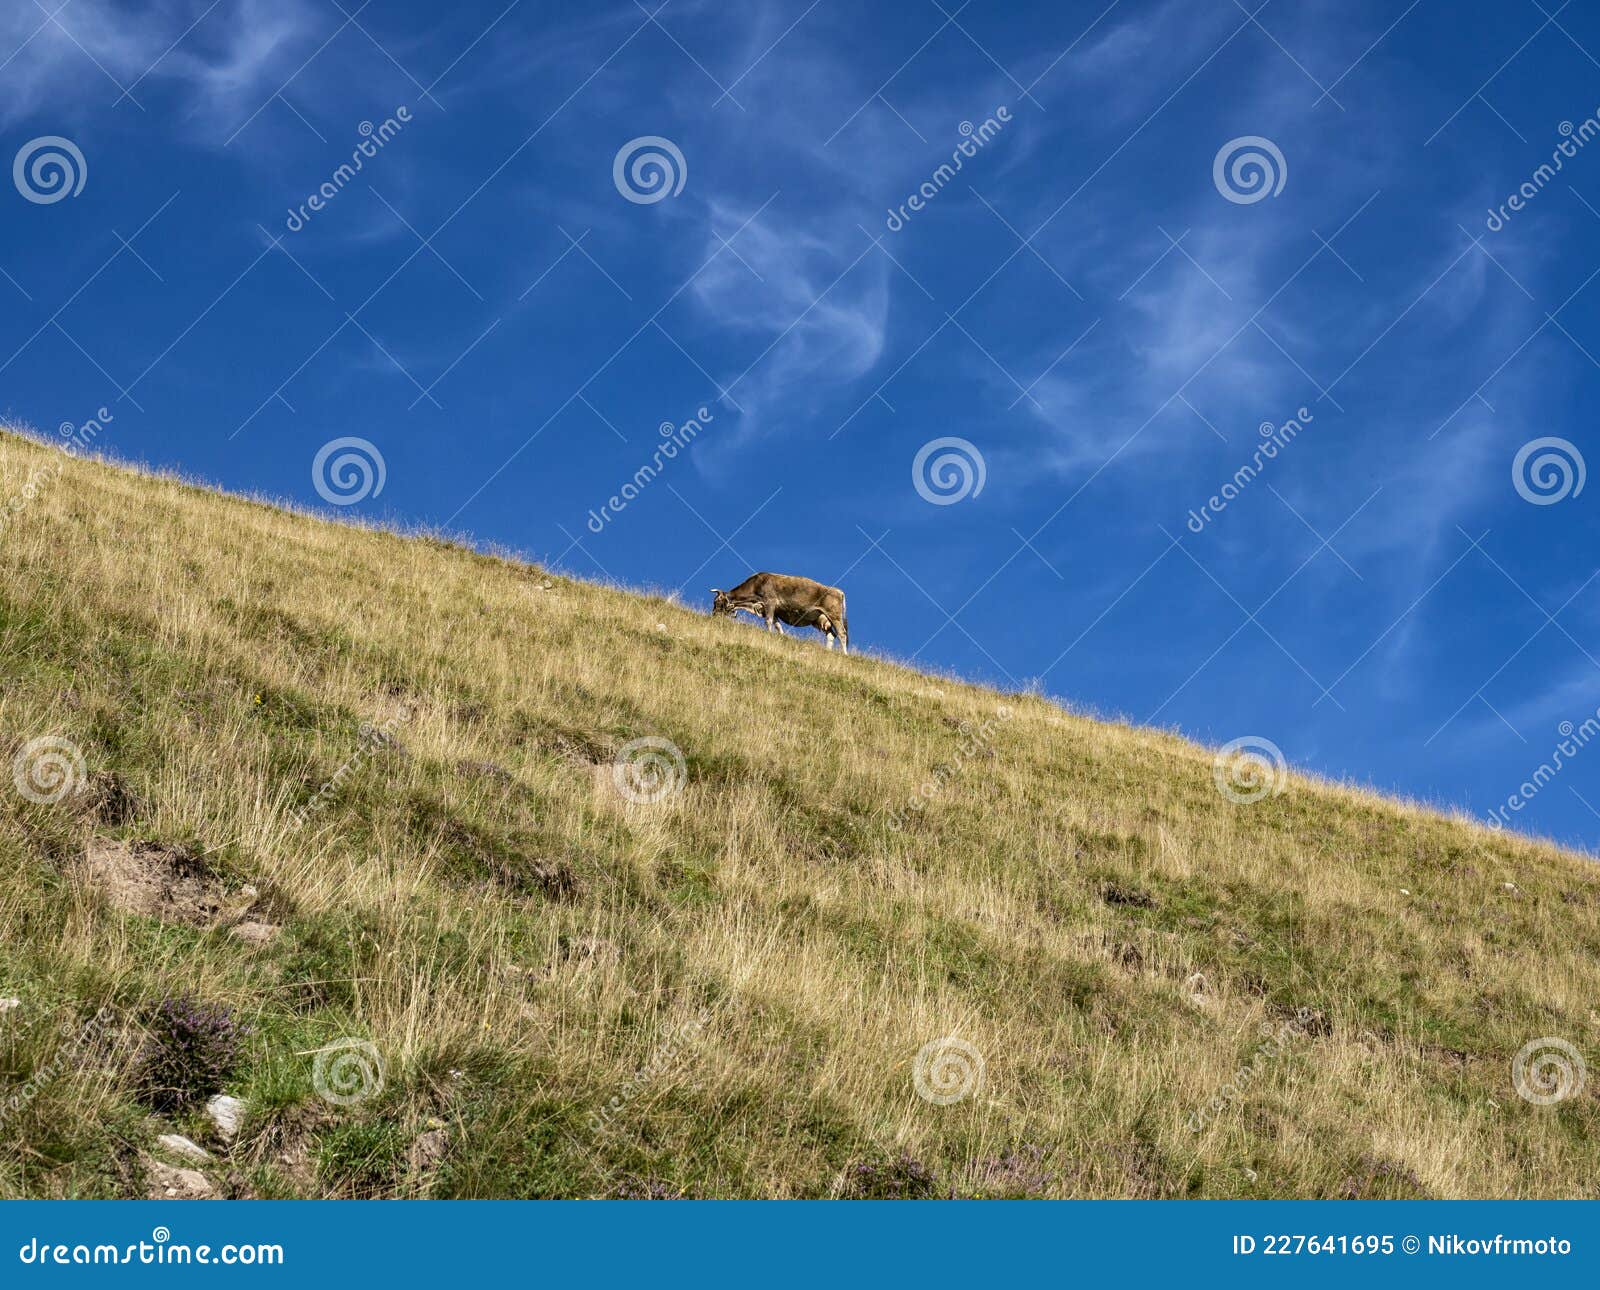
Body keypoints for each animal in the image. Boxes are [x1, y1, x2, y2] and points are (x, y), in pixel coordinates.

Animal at [710, 572, 849, 653]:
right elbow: (777, 625)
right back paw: (828, 651)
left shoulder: (770, 603)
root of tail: (838, 591)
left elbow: (769, 621)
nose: (713, 615)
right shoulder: (772, 610)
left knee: (842, 634)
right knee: (831, 635)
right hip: (821, 619)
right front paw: (781, 637)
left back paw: (845, 654)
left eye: (717, 601)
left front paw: (769, 634)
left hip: (835, 616)